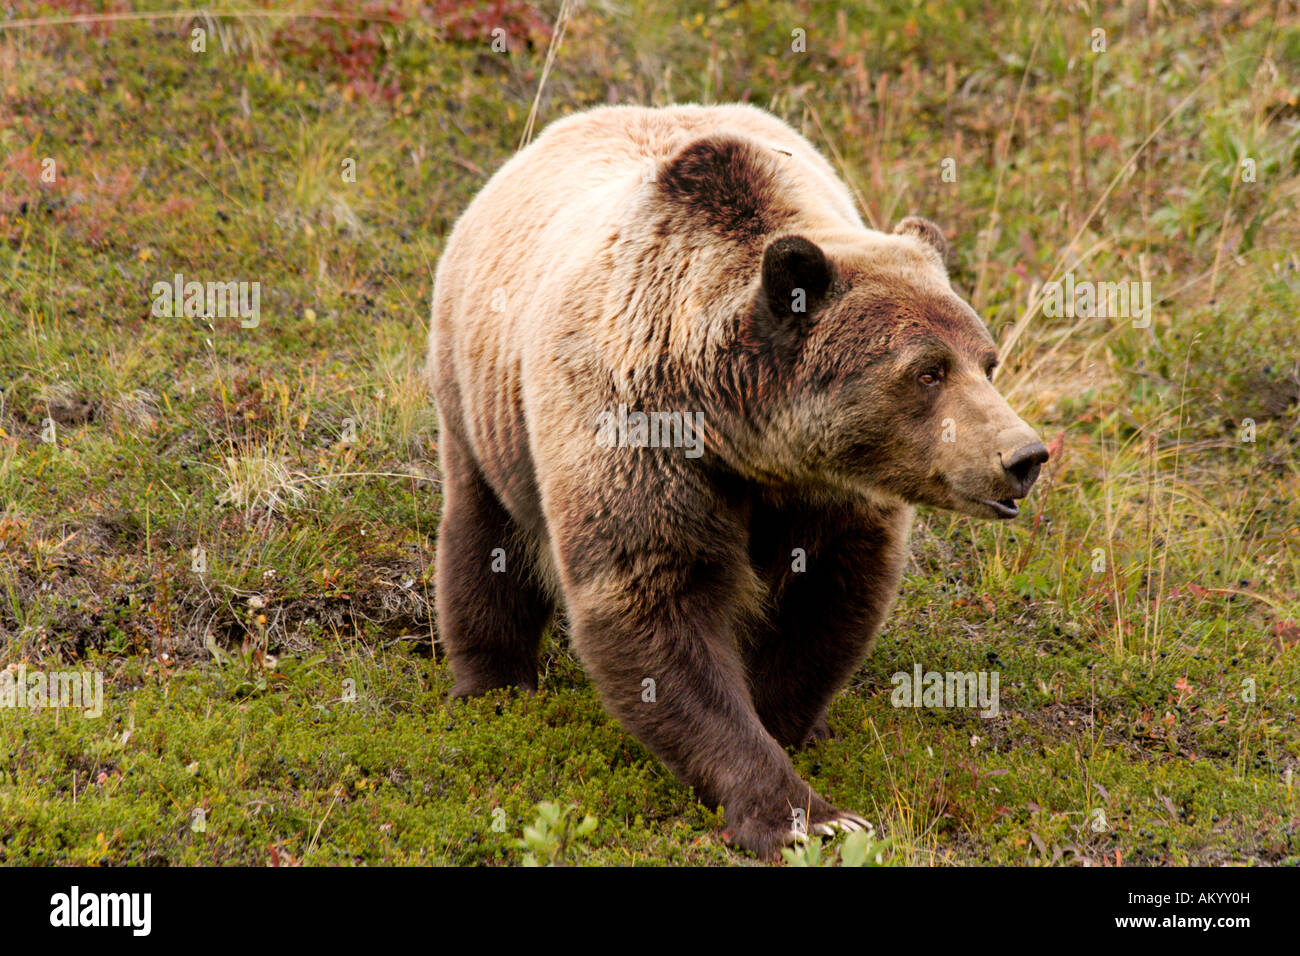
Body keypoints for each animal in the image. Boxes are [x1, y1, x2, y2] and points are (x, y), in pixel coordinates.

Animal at [426, 103, 1047, 858]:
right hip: (483, 400)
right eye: (928, 370)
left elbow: (824, 606)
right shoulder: (639, 437)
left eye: (986, 360)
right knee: (486, 539)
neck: (746, 437)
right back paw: (492, 684)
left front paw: (791, 736)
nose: (1024, 456)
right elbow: (653, 600)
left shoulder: (834, 499)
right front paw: (800, 814)